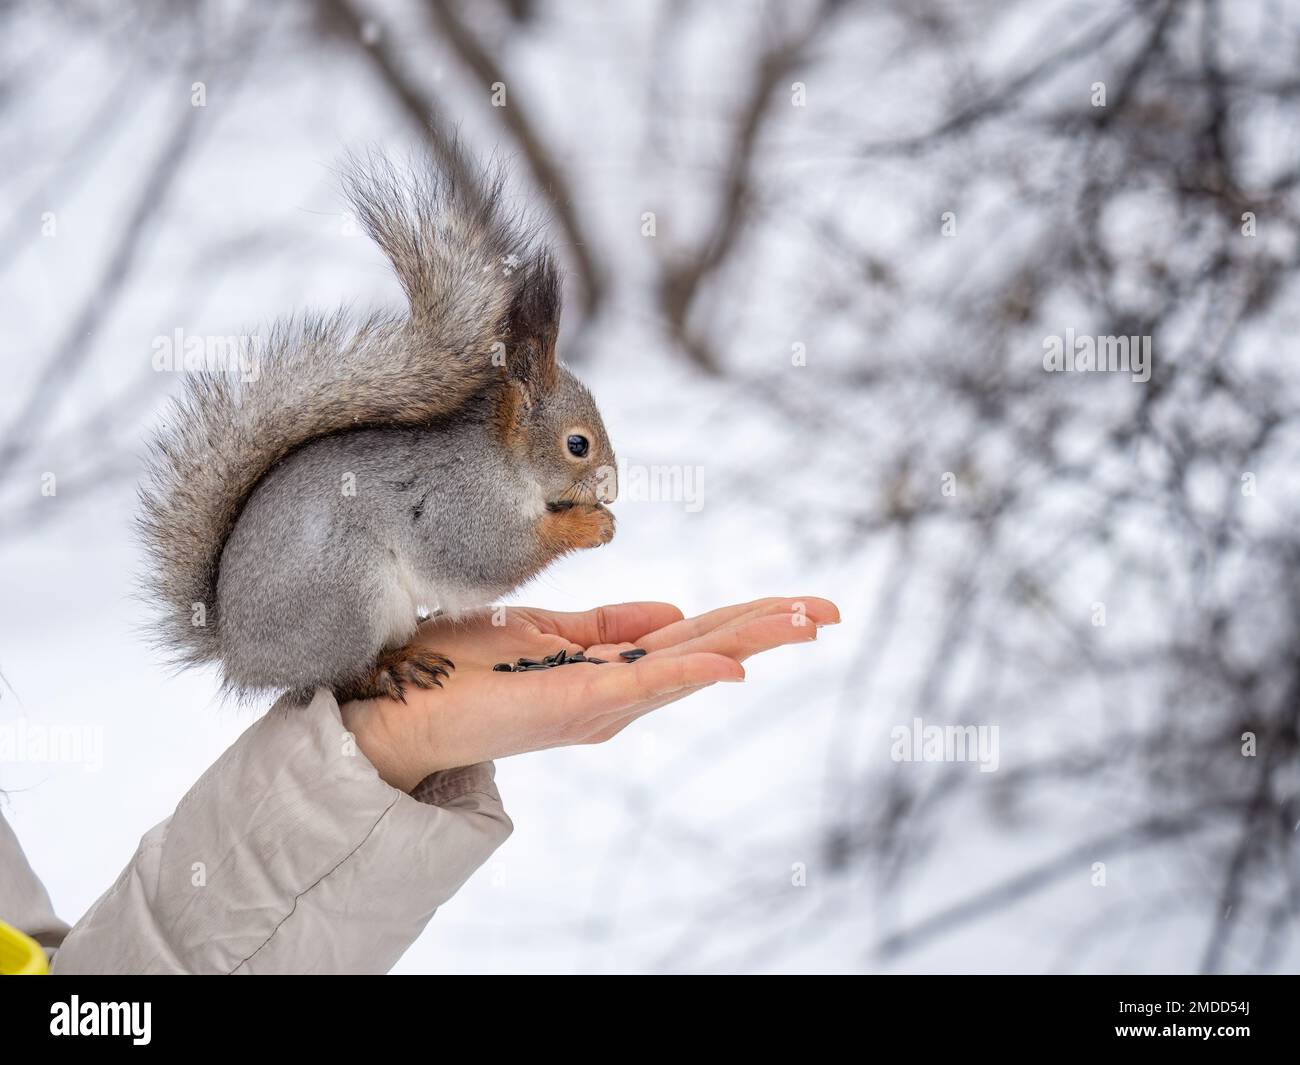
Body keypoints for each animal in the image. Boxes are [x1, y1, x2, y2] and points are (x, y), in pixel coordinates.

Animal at [138, 148, 617, 706]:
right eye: (577, 445)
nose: (613, 489)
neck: (503, 460)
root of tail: (241, 654)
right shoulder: (459, 507)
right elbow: (493, 557)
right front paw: (587, 526)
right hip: (346, 595)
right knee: (341, 677)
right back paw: (393, 669)